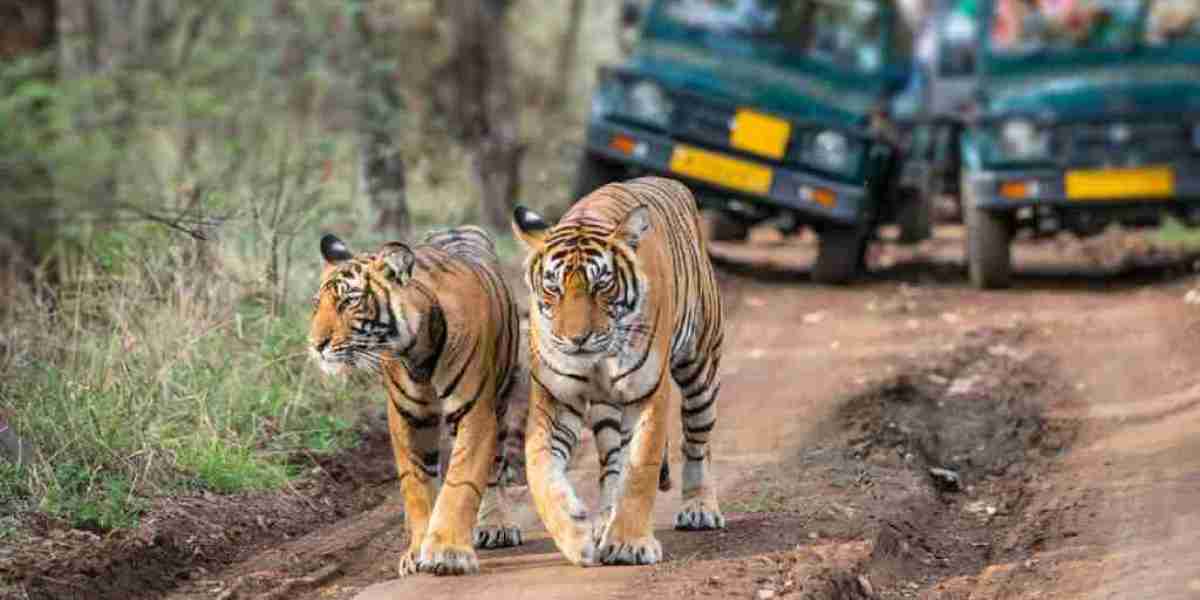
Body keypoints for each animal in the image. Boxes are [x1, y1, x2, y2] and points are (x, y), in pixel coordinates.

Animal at [309, 226, 525, 577]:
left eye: (349, 301)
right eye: (317, 305)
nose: (315, 345)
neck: (416, 351)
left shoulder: (475, 412)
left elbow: (461, 481)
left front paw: (447, 552)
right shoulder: (409, 417)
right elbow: (417, 485)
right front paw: (415, 552)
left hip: (502, 401)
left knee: (495, 466)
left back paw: (495, 526)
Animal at [511, 176, 725, 567]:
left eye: (601, 285)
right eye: (553, 287)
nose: (576, 339)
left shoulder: (649, 393)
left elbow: (640, 468)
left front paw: (630, 544)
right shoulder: (556, 397)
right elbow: (539, 468)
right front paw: (575, 535)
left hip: (700, 368)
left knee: (696, 442)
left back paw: (699, 508)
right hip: (608, 409)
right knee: (612, 462)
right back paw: (603, 521)